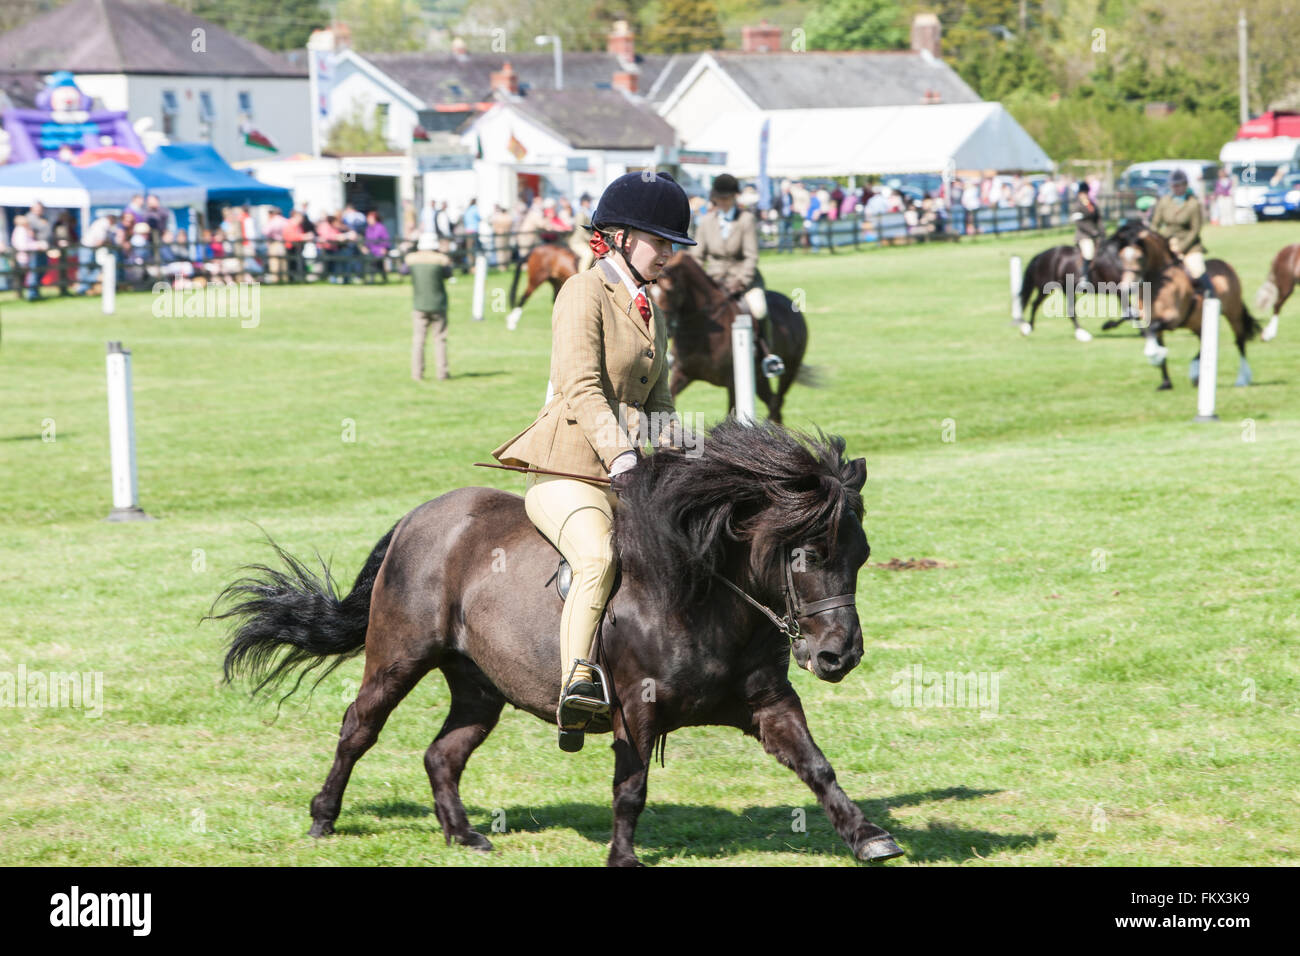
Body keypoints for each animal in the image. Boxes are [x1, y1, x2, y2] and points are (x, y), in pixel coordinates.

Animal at [210, 417, 905, 868]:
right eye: (805, 555)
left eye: (862, 554)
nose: (839, 656)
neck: (701, 596)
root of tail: (419, 516)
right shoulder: (635, 706)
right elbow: (631, 787)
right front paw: (623, 858)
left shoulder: (768, 703)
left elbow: (817, 766)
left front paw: (869, 837)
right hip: (398, 658)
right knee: (358, 728)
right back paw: (323, 817)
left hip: (480, 684)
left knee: (443, 754)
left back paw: (465, 836)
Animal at [651, 252, 811, 424]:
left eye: (670, 289)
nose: (664, 329)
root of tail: (789, 303)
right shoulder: (682, 374)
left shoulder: (733, 382)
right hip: (760, 378)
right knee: (773, 402)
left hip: (790, 369)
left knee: (777, 401)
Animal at [1140, 260, 1260, 391]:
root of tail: (1226, 264)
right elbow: (1152, 336)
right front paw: (1166, 382)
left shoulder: (1173, 318)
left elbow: (1154, 329)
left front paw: (1155, 356)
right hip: (1198, 324)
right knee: (1205, 341)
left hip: (1233, 313)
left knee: (1240, 341)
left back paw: (1241, 378)